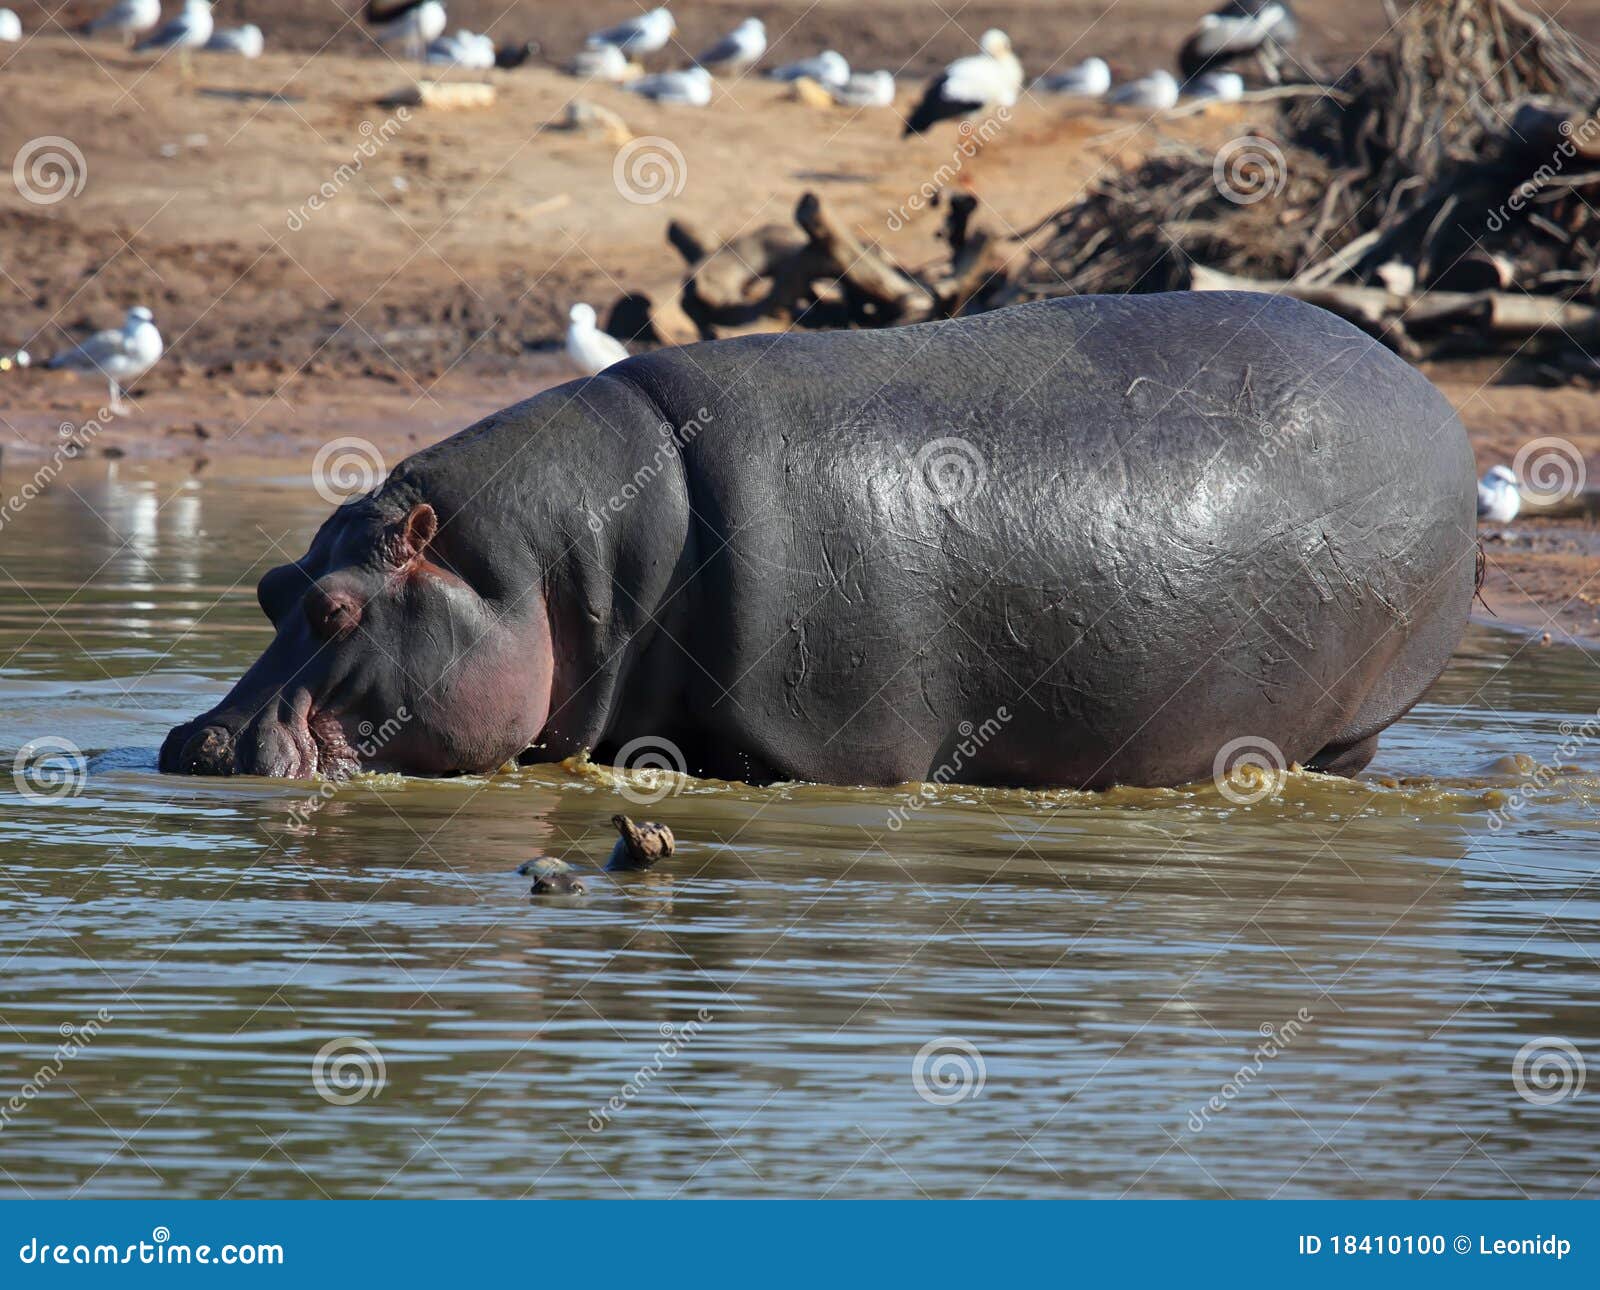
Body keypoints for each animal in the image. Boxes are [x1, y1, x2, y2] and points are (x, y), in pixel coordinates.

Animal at [160, 291, 1477, 789]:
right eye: (269, 584)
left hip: (1360, 709)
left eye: (335, 609)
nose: (194, 739)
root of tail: (1431, 398)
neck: (544, 571)